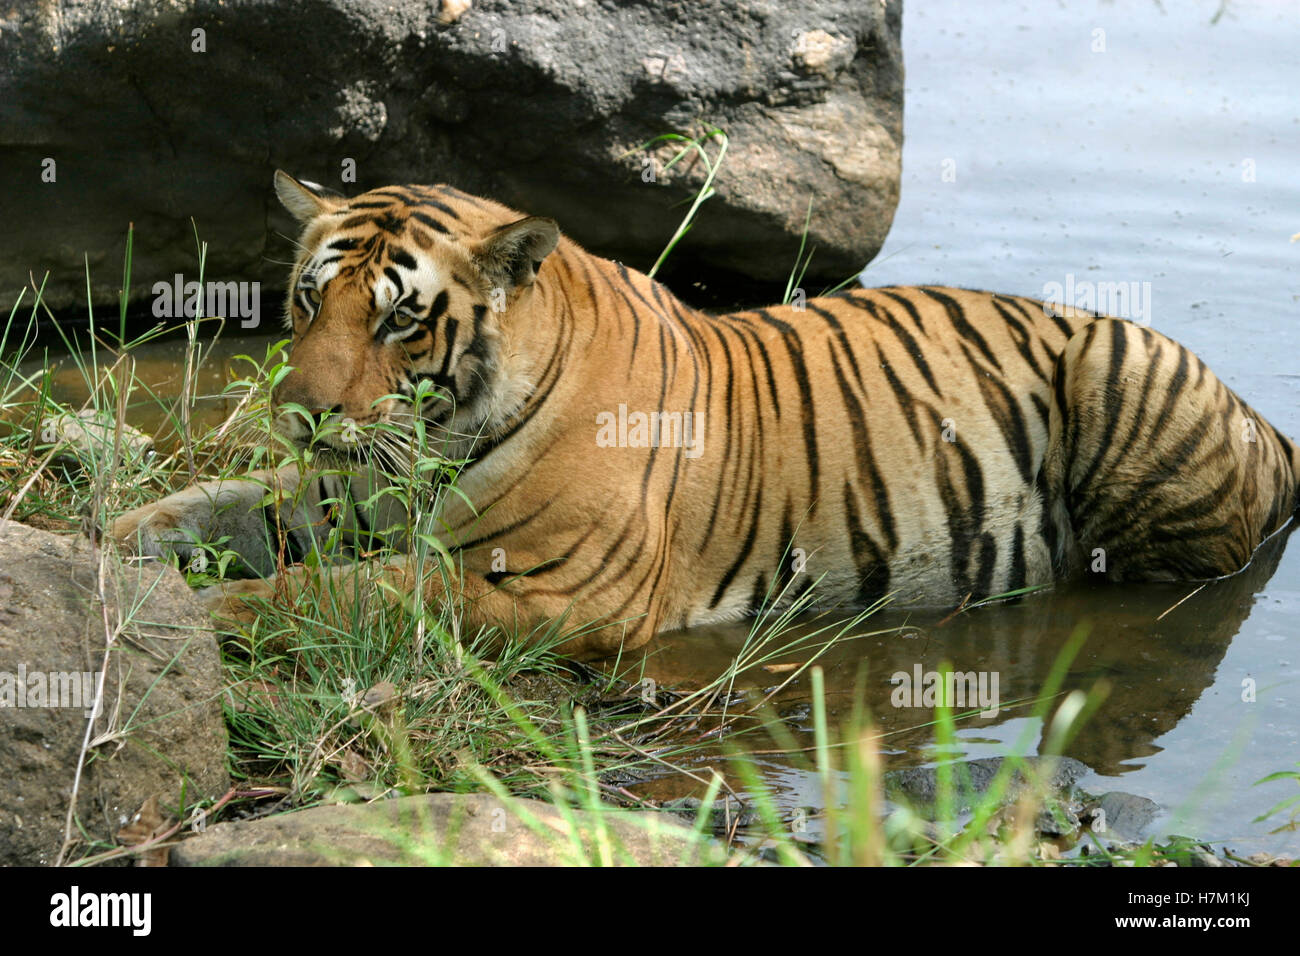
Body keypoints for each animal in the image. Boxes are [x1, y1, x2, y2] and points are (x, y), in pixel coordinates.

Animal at [110, 171, 1300, 660]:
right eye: (311, 300)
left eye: (401, 319)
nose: (300, 414)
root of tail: (1262, 413)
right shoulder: (346, 486)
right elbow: (218, 504)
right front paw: (114, 544)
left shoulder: (554, 589)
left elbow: (342, 590)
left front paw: (200, 612)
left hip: (1116, 381)